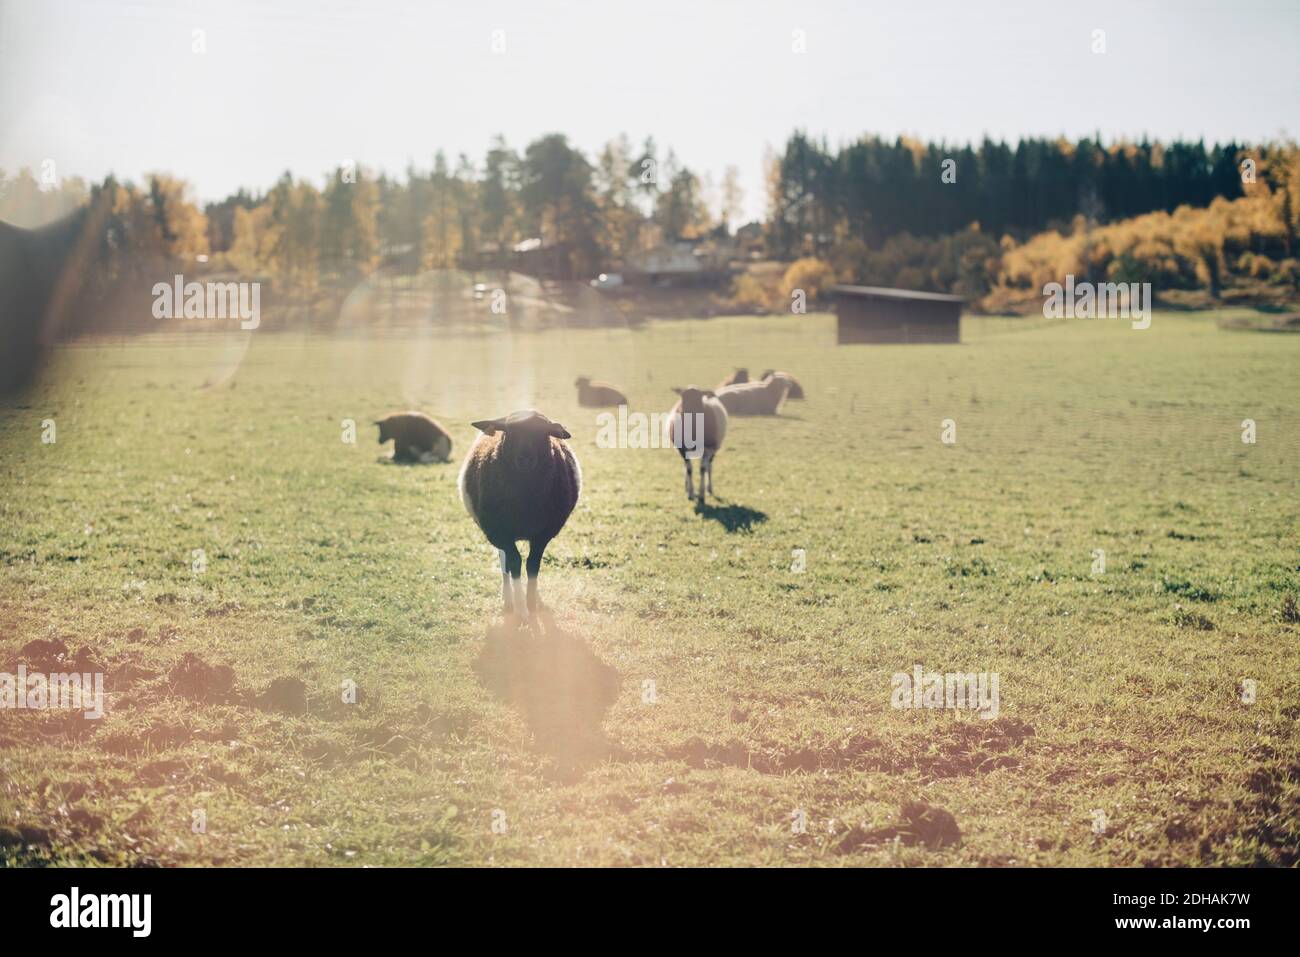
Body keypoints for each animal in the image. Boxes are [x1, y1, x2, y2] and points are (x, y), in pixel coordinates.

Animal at [457, 408, 579, 621]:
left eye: (544, 433)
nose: (525, 458)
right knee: (504, 561)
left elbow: (533, 565)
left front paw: (532, 604)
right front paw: (522, 609)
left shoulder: (543, 535)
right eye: (508, 431)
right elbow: (514, 562)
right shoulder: (499, 532)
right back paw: (509, 599)